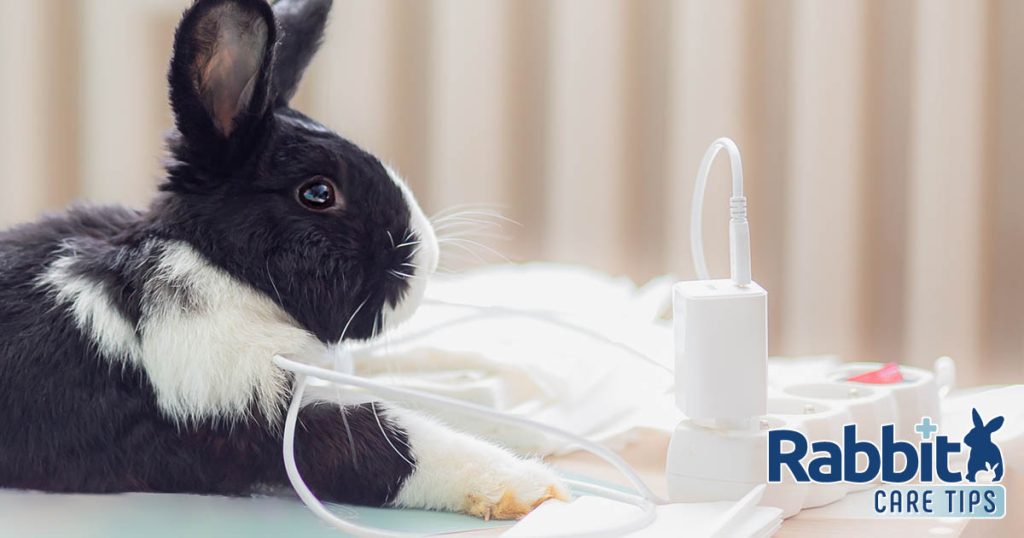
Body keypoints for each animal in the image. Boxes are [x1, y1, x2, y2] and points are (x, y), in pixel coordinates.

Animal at [0, 0, 566, 521]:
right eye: (317, 193)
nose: (425, 263)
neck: (221, 271)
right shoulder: (254, 412)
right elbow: (399, 445)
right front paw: (529, 486)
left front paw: (530, 428)